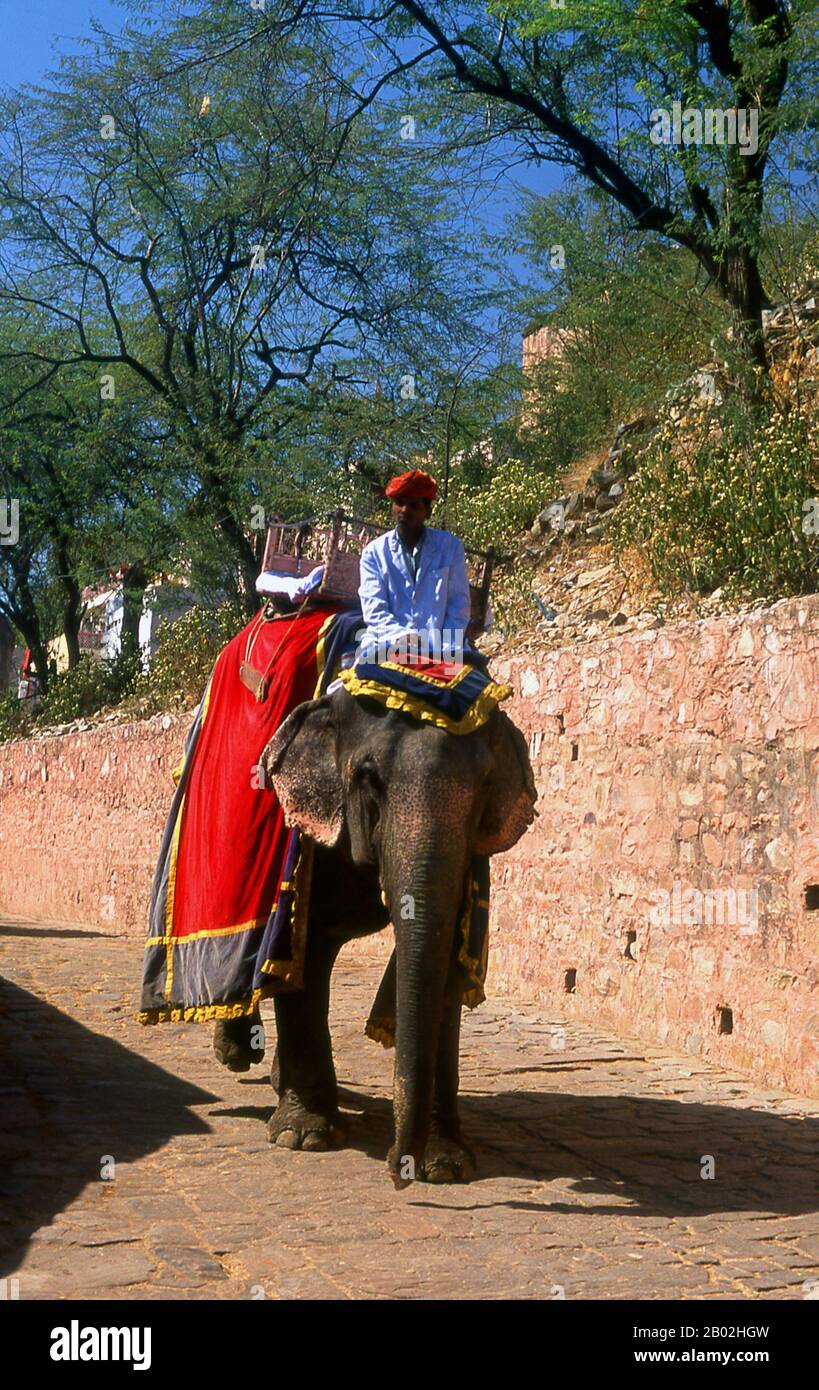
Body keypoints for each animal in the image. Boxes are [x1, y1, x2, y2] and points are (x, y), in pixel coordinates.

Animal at [213, 683, 537, 1187]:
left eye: (485, 786)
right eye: (368, 778)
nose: (398, 1170)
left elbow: (446, 957)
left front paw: (445, 1165)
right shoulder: (307, 839)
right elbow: (301, 950)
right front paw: (304, 1138)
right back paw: (237, 1053)